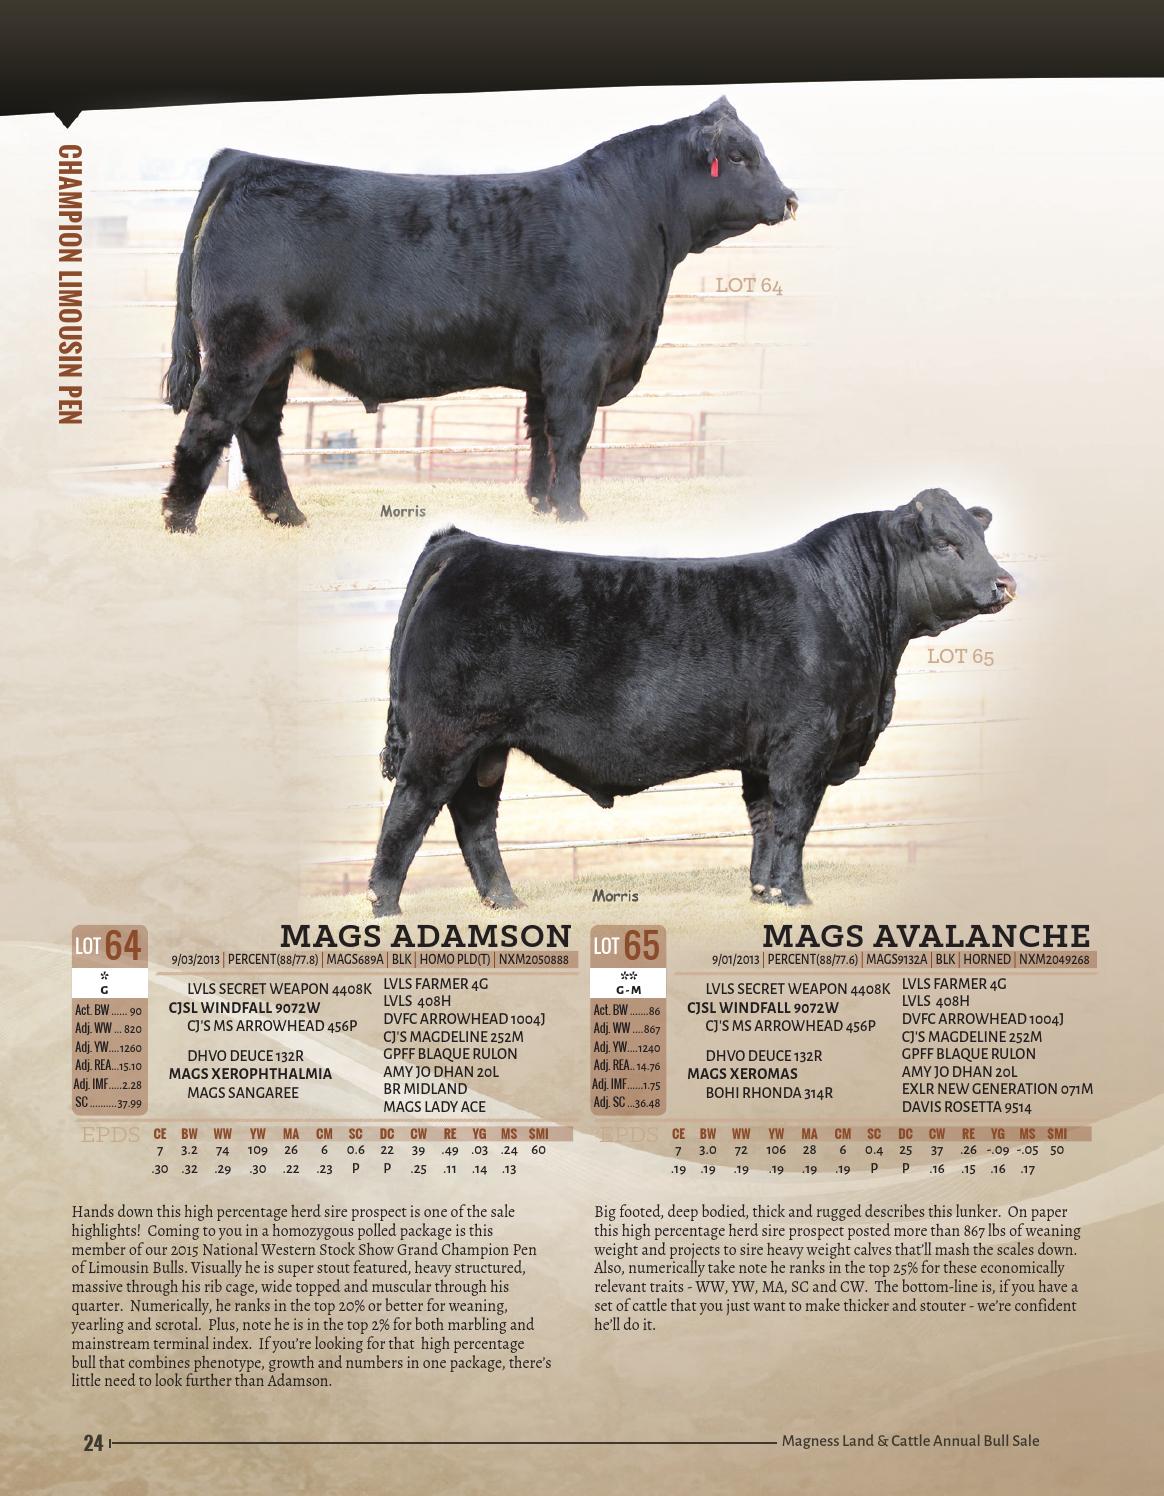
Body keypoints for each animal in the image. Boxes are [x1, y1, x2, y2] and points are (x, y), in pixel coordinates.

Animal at [160, 98, 796, 533]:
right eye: (739, 155)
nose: (789, 198)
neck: (630, 216)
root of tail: (247, 160)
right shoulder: (579, 356)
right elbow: (572, 436)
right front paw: (574, 514)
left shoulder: (546, 367)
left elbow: (540, 437)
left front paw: (542, 506)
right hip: (244, 348)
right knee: (209, 425)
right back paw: (180, 522)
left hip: (273, 357)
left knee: (258, 432)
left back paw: (288, 516)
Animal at [366, 489, 1016, 916]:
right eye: (946, 543)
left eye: (982, 536)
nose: (1005, 583)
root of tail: (465, 544)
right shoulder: (806, 744)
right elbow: (795, 820)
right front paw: (796, 899)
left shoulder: (763, 756)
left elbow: (764, 821)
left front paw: (763, 893)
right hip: (446, 736)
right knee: (410, 810)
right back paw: (385, 908)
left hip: (487, 747)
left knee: (475, 818)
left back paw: (507, 903)